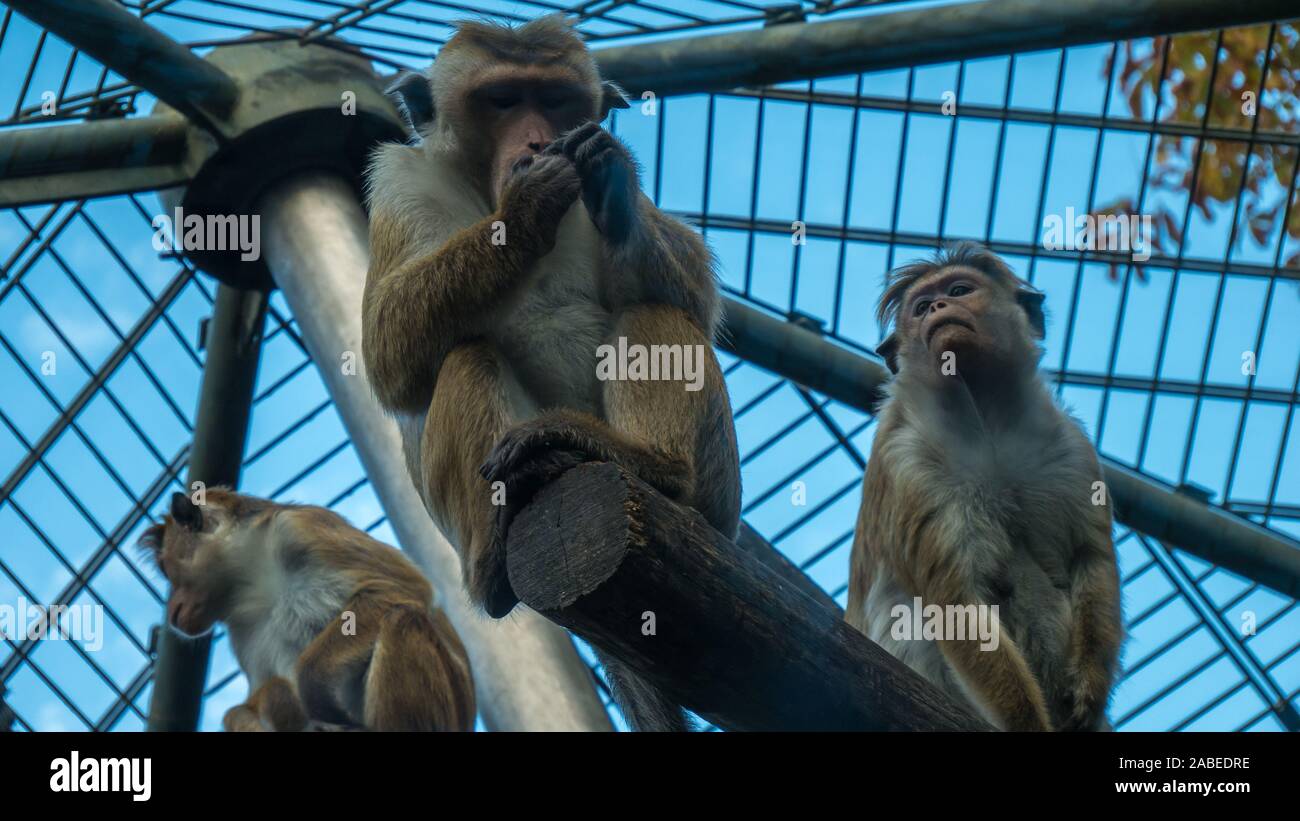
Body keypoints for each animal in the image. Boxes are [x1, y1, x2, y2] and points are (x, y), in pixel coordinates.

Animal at [139, 488, 476, 732]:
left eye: (169, 571)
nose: (172, 609)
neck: (258, 581)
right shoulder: (241, 629)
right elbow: (257, 697)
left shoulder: (299, 528)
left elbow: (403, 588)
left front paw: (313, 686)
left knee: (402, 617)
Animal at [361, 16, 740, 732]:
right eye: (503, 100)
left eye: (556, 100)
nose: (536, 141)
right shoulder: (399, 180)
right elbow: (387, 352)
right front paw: (526, 209)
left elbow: (696, 299)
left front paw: (613, 180)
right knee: (466, 351)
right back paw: (496, 556)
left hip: (720, 501)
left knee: (654, 309)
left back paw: (650, 463)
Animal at [846, 242, 1122, 732]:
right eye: (922, 307)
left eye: (959, 290)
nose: (939, 307)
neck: (984, 414)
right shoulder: (908, 459)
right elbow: (955, 603)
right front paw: (1028, 724)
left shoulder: (1071, 446)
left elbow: (1089, 556)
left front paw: (1090, 689)